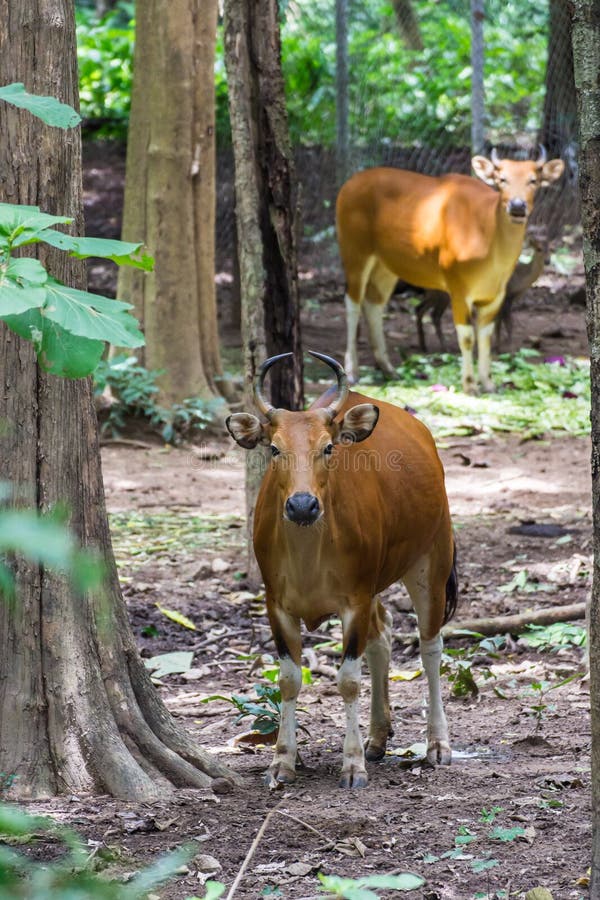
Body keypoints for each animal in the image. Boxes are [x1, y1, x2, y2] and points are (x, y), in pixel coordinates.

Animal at [226, 351, 457, 788]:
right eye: (275, 449)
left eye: (329, 446)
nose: (302, 505)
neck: (308, 556)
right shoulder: (276, 604)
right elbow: (288, 679)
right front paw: (282, 760)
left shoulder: (355, 599)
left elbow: (348, 680)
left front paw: (351, 764)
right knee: (382, 636)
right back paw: (378, 737)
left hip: (431, 561)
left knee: (430, 646)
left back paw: (437, 743)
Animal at [336, 148, 564, 392]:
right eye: (502, 179)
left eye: (534, 180)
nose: (518, 206)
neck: (488, 239)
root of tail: (348, 185)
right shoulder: (458, 290)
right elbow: (467, 337)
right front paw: (470, 384)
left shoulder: (495, 295)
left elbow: (485, 336)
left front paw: (488, 383)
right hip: (355, 252)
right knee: (352, 303)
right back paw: (352, 371)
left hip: (386, 265)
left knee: (374, 304)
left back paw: (388, 368)